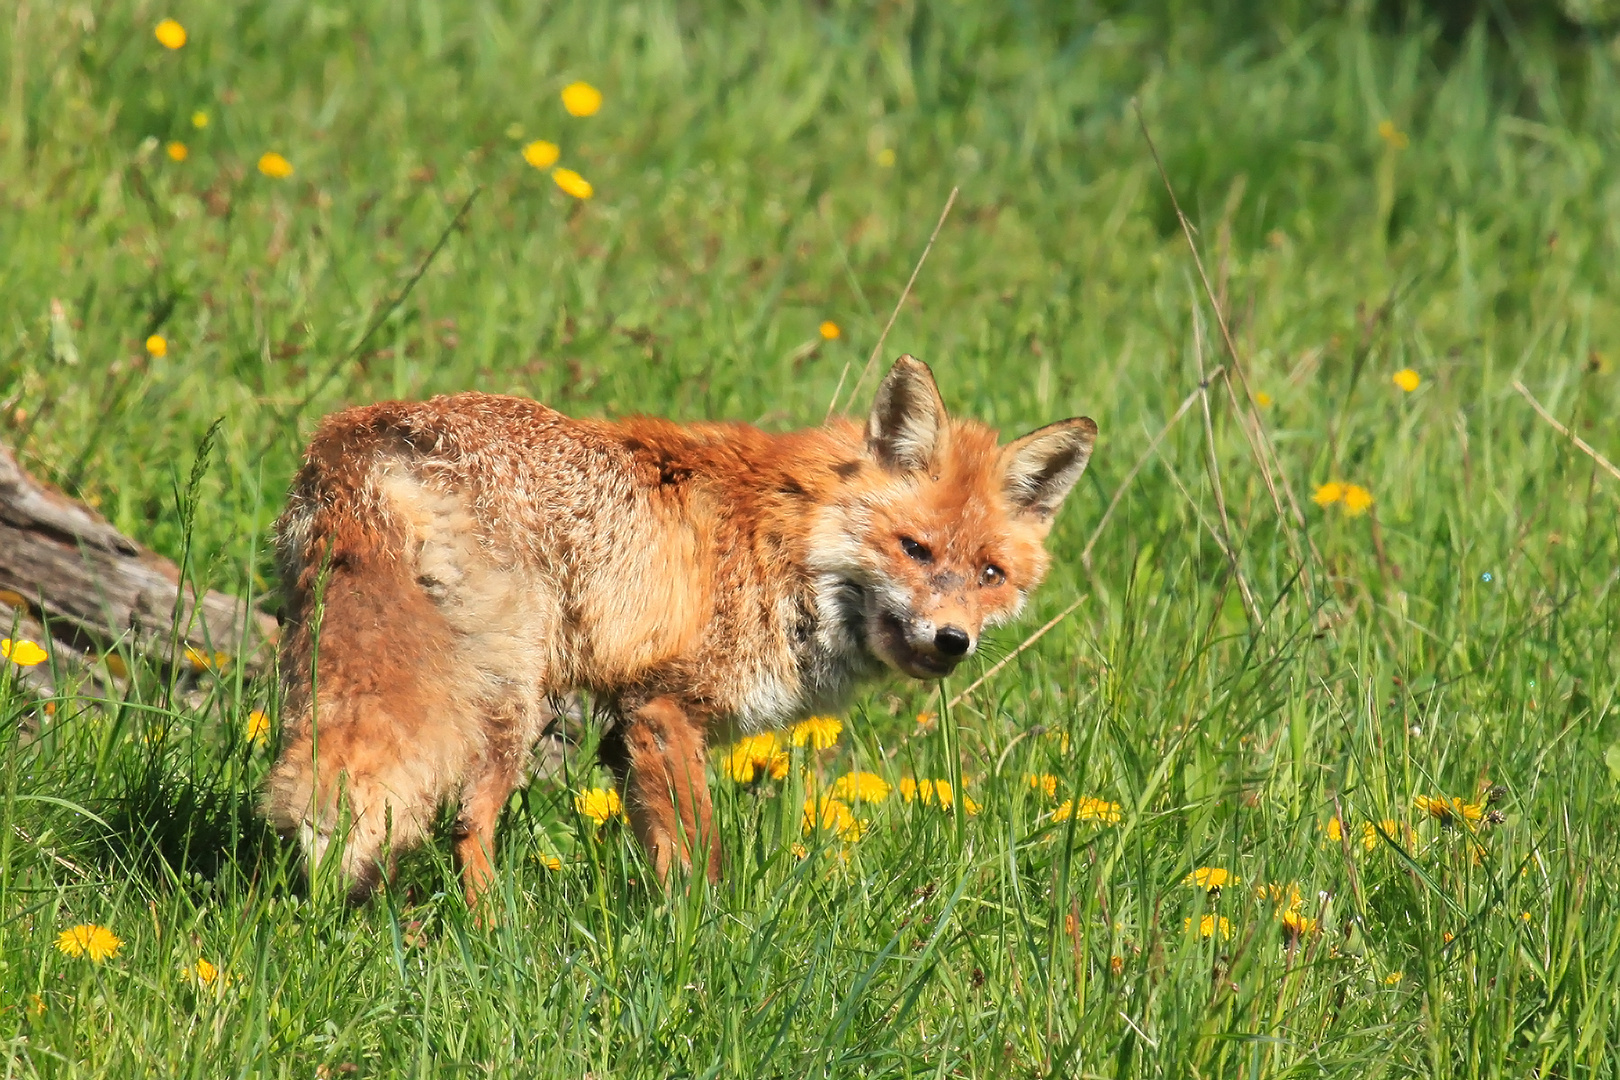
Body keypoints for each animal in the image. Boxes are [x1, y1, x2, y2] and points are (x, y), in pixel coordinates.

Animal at [264, 355, 1096, 904]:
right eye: (915, 549)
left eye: (991, 572)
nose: (953, 641)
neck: (786, 543)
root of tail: (361, 432)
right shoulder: (663, 706)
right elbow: (704, 857)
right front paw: (703, 944)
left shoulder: (624, 731)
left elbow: (664, 848)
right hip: (511, 703)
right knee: (467, 825)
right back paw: (495, 937)